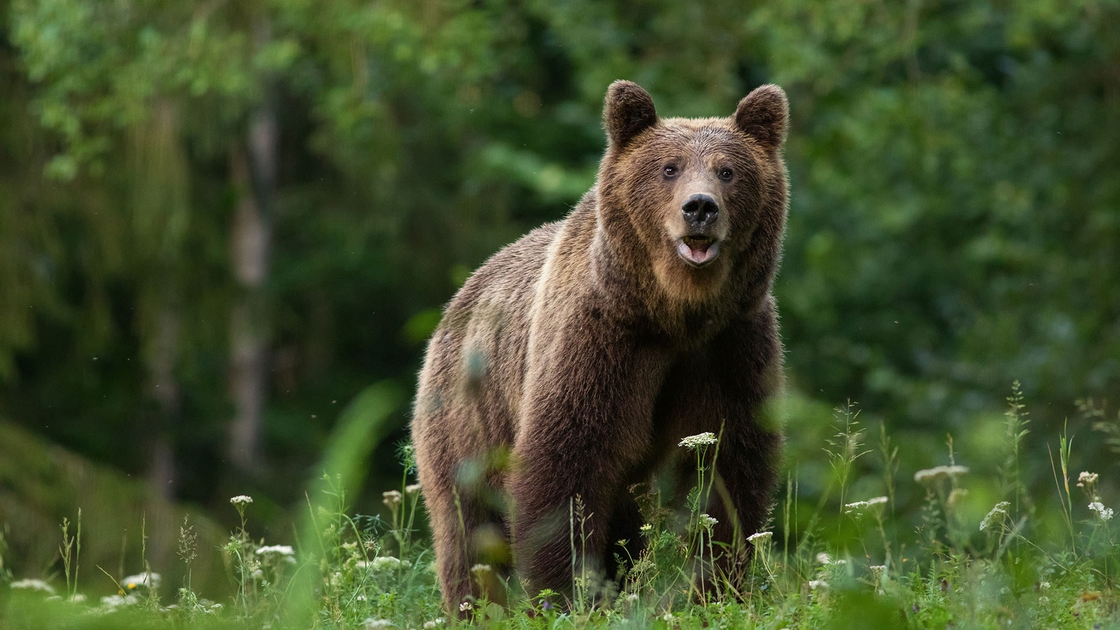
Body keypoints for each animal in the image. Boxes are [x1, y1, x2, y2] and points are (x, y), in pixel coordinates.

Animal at [411, 79, 789, 613]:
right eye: (669, 168)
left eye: (728, 171)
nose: (700, 207)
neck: (674, 313)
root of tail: (459, 298)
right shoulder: (601, 341)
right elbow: (567, 463)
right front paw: (566, 593)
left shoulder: (730, 346)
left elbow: (727, 467)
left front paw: (716, 586)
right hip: (467, 417)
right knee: (469, 526)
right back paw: (476, 606)